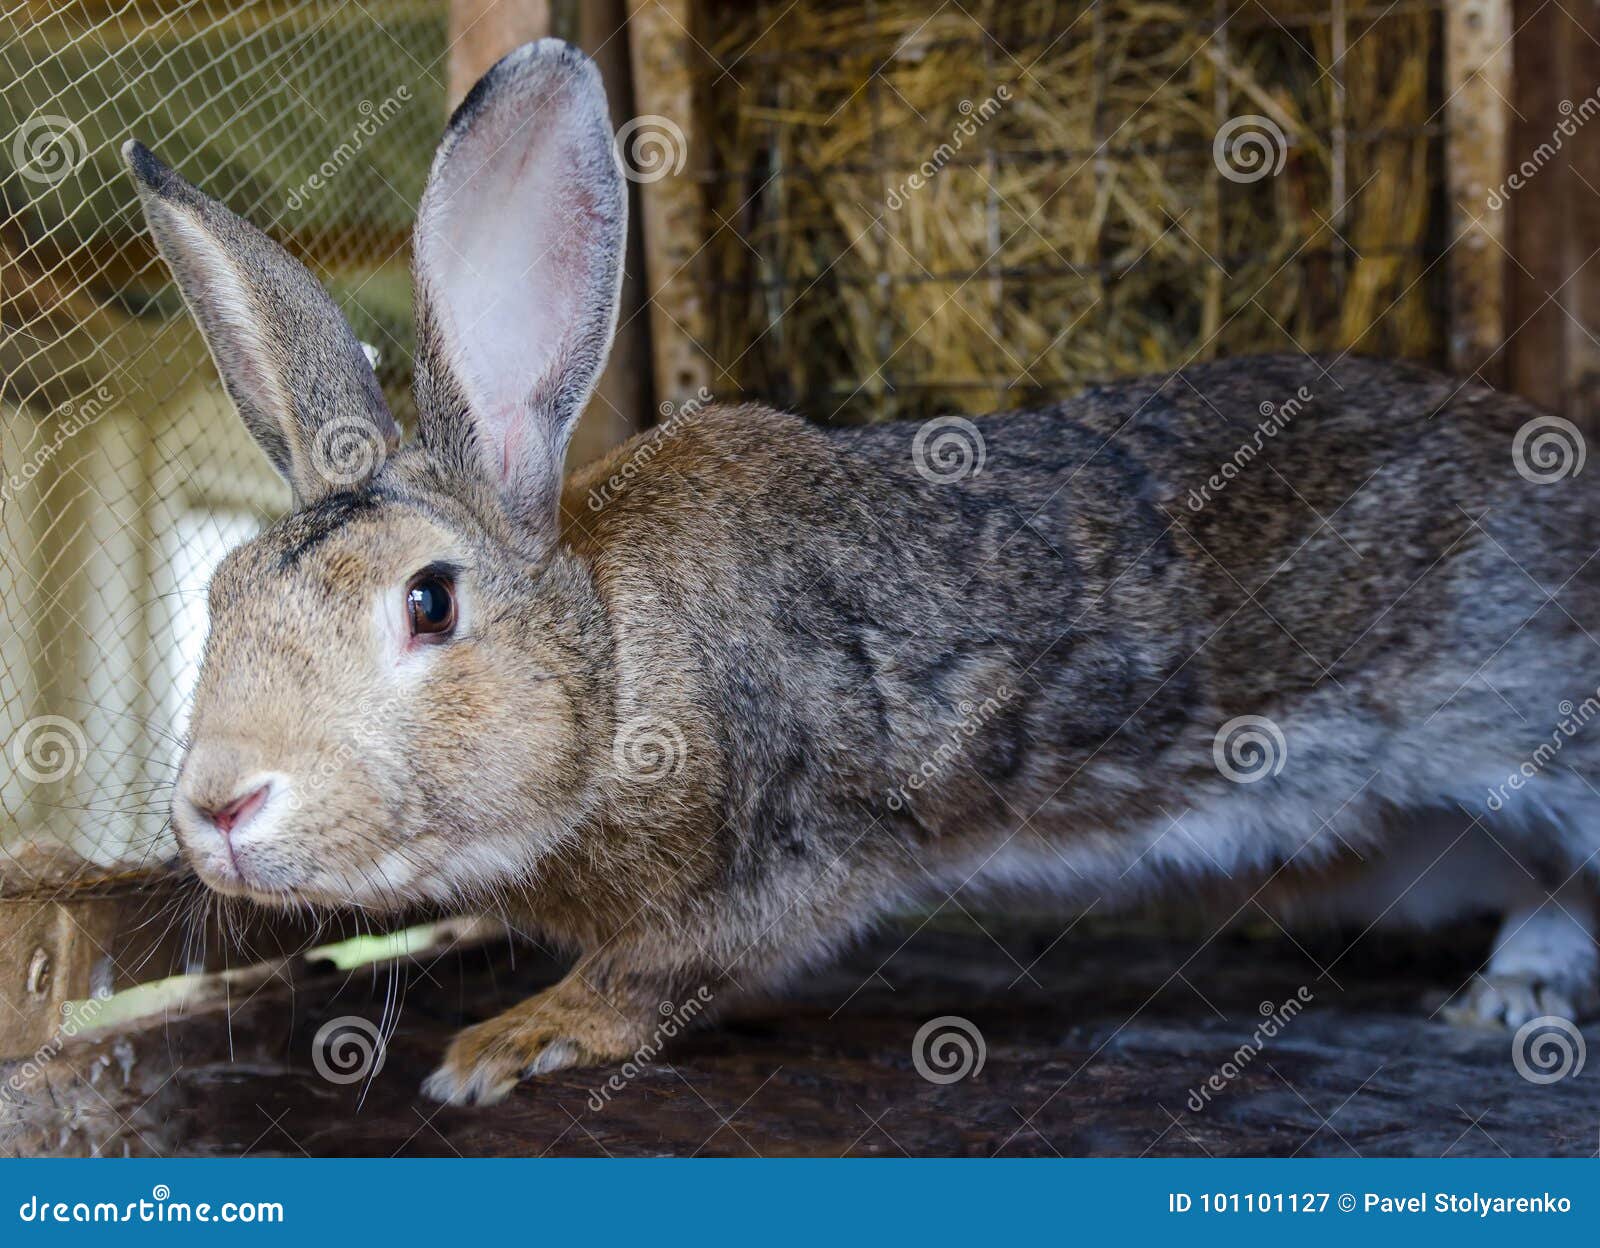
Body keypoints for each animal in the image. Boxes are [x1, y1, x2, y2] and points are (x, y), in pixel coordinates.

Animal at [125, 38, 1600, 1107]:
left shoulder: (797, 854)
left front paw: (508, 1045)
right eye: (221, 591)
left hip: (1528, 735)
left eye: (428, 603)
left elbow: (659, 972)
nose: (219, 809)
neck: (618, 663)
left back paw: (1516, 992)